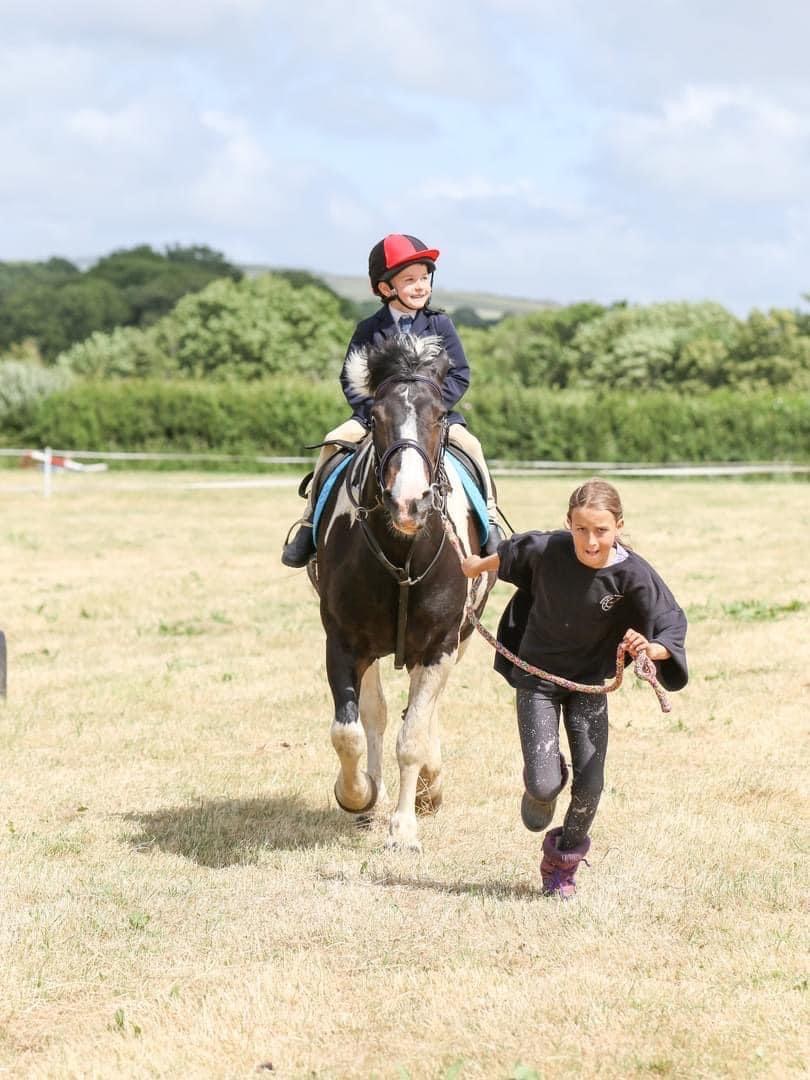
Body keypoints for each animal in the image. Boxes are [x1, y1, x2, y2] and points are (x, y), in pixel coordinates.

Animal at [308, 334, 495, 851]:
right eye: (375, 416)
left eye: (440, 415)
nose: (409, 503)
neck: (402, 550)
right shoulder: (344, 643)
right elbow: (350, 730)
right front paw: (358, 796)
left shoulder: (440, 645)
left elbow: (412, 739)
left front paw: (405, 828)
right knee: (376, 714)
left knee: (423, 716)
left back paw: (430, 785)